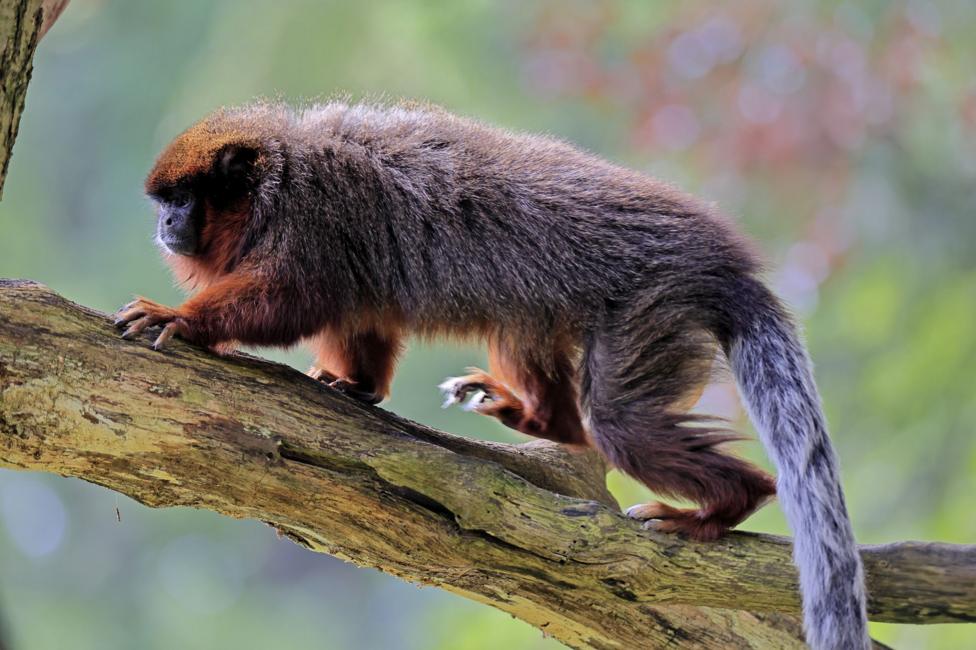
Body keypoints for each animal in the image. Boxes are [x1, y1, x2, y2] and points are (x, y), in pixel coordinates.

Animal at [117, 101, 869, 649]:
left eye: (184, 200)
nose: (167, 224)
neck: (281, 180)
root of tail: (723, 265)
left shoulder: (313, 223)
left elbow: (289, 301)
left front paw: (183, 318)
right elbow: (357, 314)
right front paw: (355, 383)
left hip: (652, 303)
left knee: (623, 427)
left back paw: (723, 506)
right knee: (534, 341)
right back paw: (538, 418)